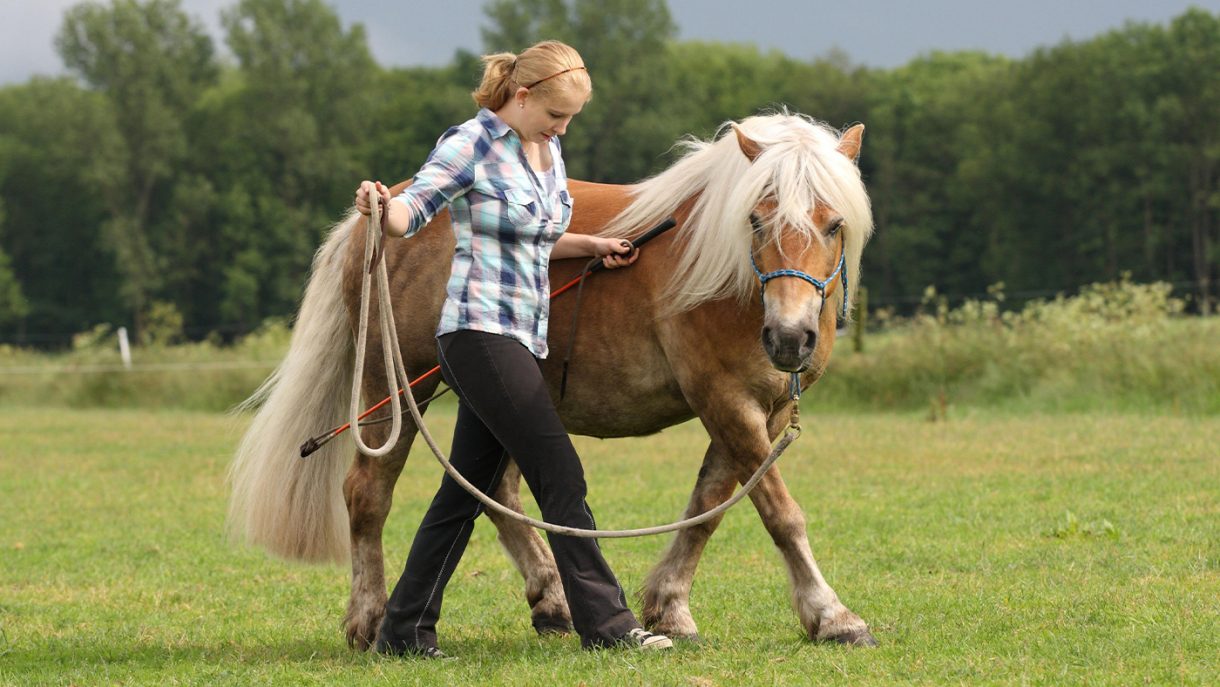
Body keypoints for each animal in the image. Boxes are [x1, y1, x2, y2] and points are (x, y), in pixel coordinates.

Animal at [227, 111, 877, 649]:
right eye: (756, 220)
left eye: (833, 224)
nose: (789, 337)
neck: (725, 274)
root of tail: (382, 213)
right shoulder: (724, 400)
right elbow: (779, 512)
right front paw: (833, 616)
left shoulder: (756, 409)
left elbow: (712, 506)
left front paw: (670, 608)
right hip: (395, 386)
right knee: (368, 492)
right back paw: (370, 619)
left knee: (492, 493)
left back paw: (554, 603)